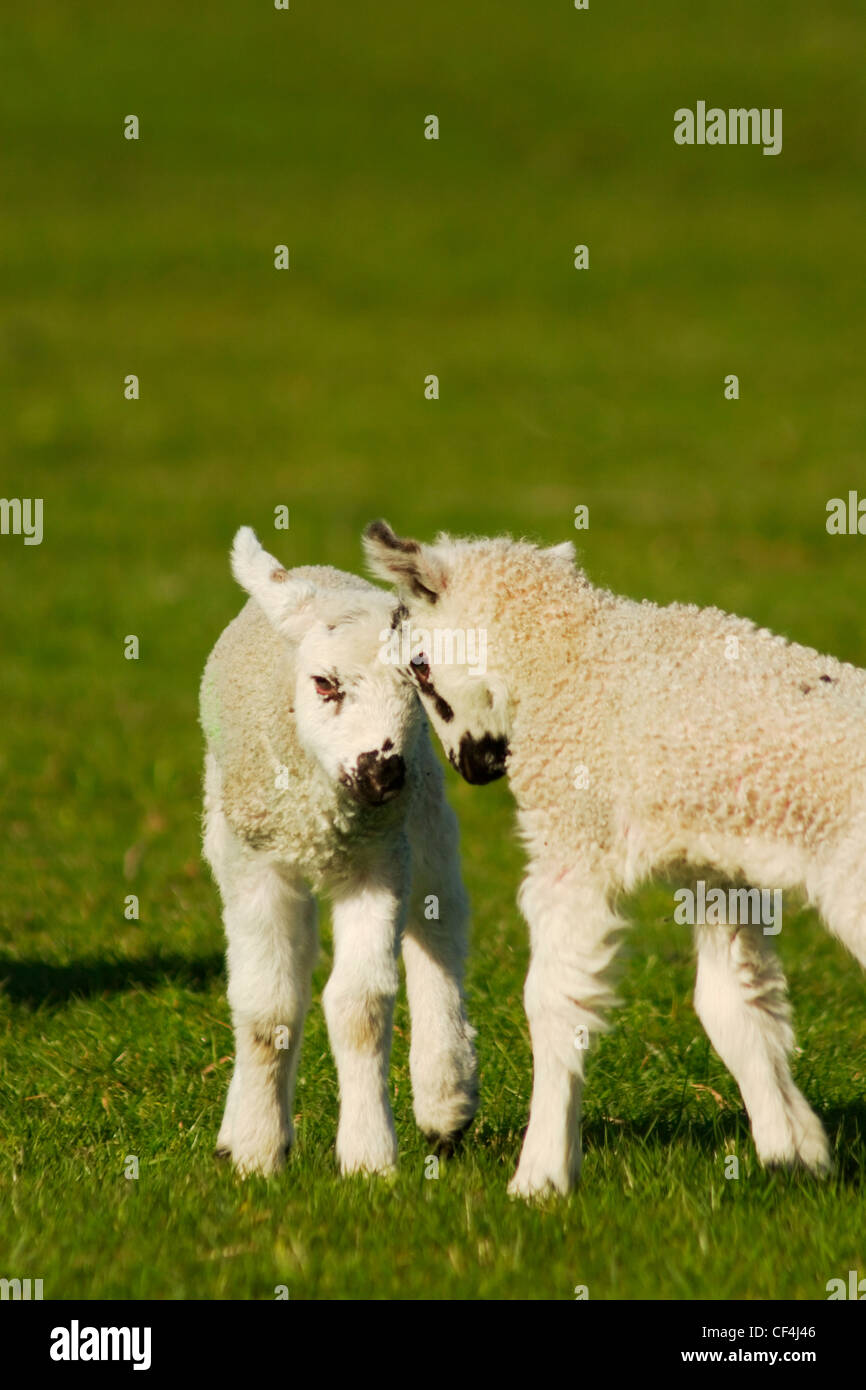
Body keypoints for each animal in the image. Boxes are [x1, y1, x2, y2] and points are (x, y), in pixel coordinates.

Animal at [199, 527, 477, 1179]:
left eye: (417, 686)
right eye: (324, 683)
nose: (382, 773)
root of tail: (324, 573)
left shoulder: (380, 858)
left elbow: (362, 1006)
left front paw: (370, 1156)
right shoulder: (257, 863)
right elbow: (267, 1008)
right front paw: (258, 1152)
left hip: (424, 814)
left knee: (441, 920)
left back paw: (445, 1095)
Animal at [364, 519, 866, 1198]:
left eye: (418, 667)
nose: (477, 767)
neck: (574, 654)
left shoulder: (574, 840)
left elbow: (553, 1001)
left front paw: (539, 1177)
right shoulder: (715, 862)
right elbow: (733, 1004)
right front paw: (795, 1149)